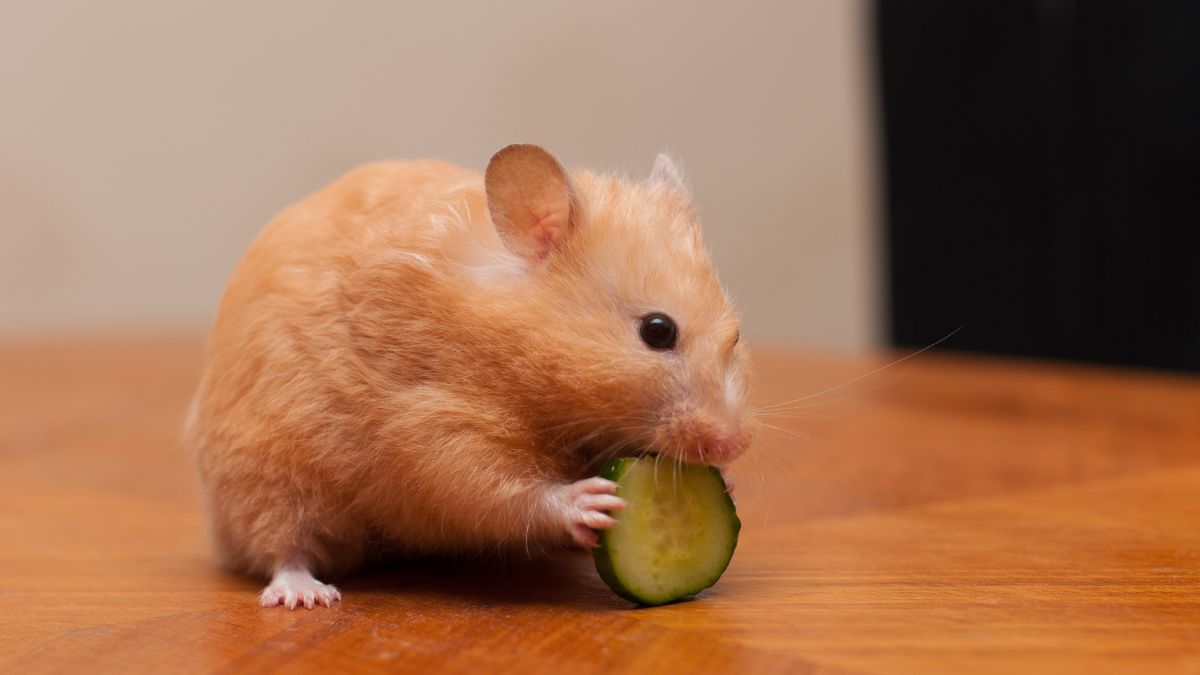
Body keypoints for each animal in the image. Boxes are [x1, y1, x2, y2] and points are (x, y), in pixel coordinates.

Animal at [184, 144, 753, 609]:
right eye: (657, 331)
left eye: (737, 334)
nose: (733, 446)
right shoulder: (433, 422)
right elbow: (495, 489)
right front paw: (593, 502)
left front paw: (728, 485)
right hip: (264, 475)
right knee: (282, 544)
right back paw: (305, 596)